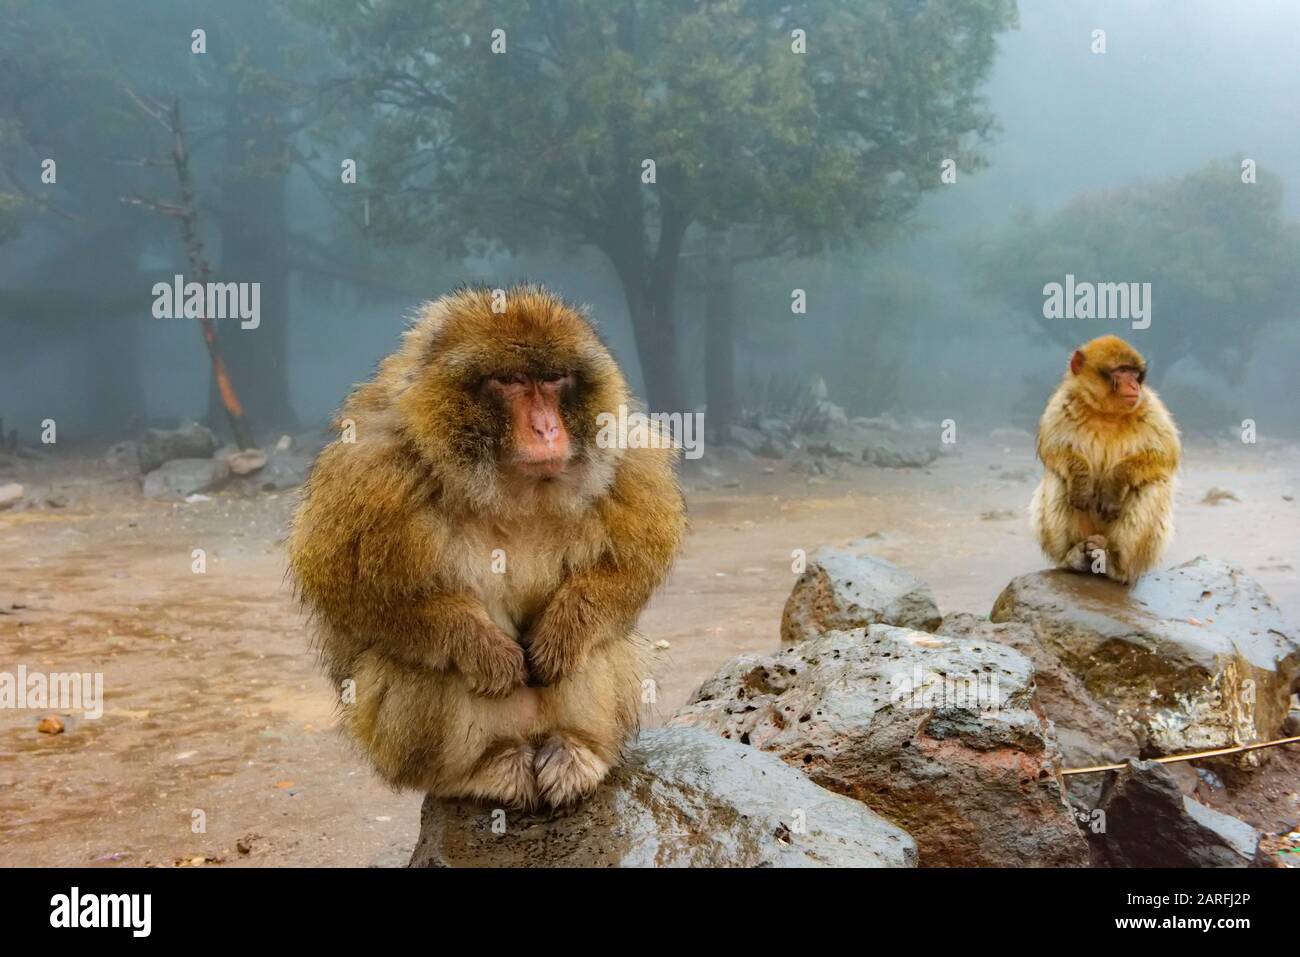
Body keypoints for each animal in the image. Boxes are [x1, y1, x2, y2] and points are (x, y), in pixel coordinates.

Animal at [288, 285, 685, 809]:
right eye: (510, 380)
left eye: (553, 379)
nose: (546, 429)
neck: (510, 483)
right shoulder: (373, 464)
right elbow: (339, 582)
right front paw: (482, 651)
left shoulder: (626, 450)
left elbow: (635, 561)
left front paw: (565, 632)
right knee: (412, 665)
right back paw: (482, 769)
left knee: (600, 645)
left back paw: (574, 752)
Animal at [1030, 335, 1181, 585]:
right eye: (1121, 371)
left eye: (1134, 373)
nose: (1134, 386)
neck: (1106, 413)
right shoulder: (1062, 404)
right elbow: (1052, 449)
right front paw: (1081, 480)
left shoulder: (1149, 406)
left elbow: (1165, 456)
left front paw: (1115, 483)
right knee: (1057, 476)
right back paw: (1073, 556)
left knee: (1153, 483)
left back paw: (1114, 563)